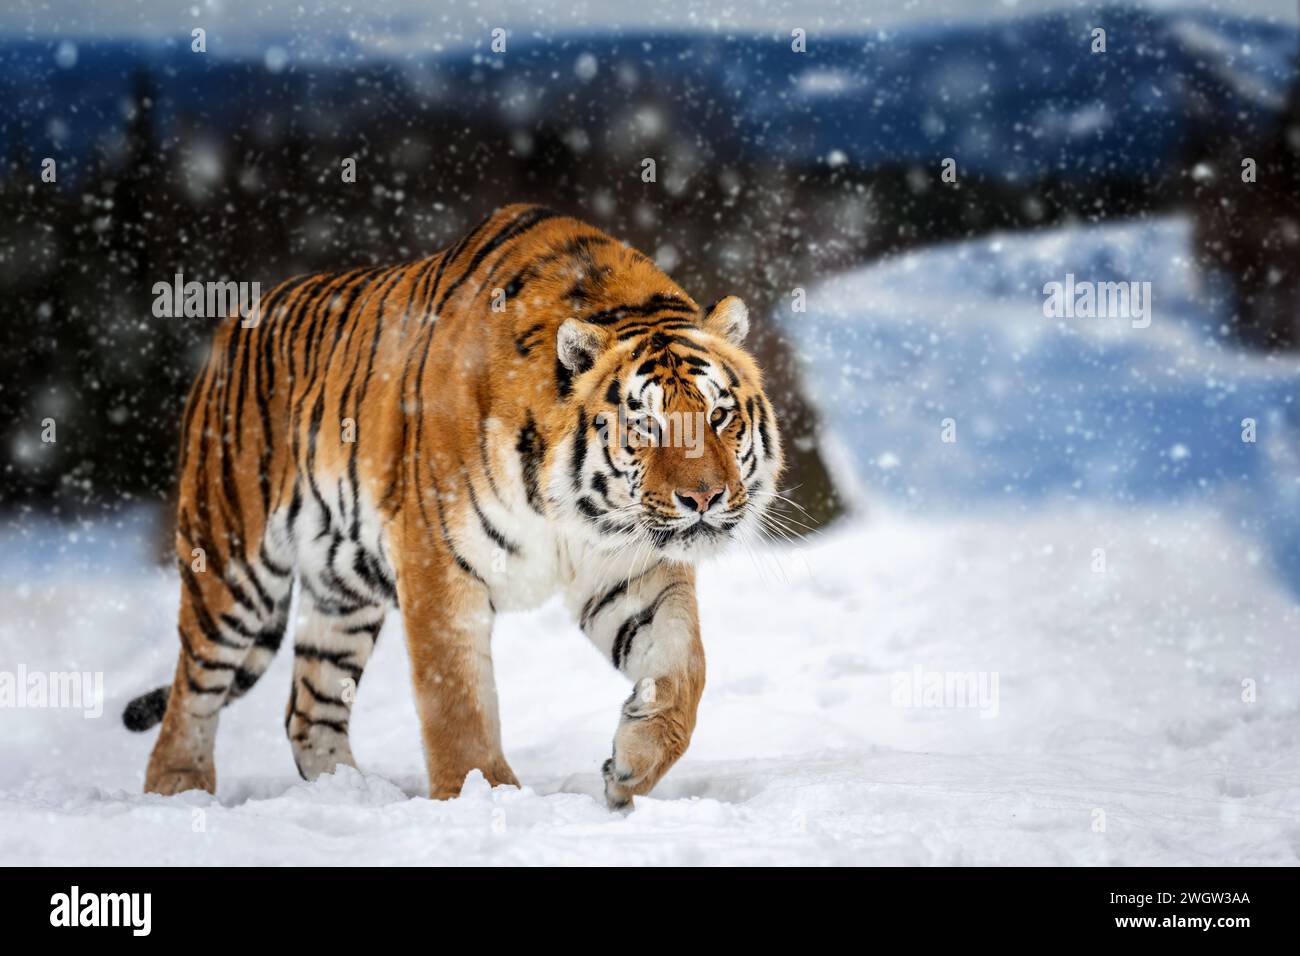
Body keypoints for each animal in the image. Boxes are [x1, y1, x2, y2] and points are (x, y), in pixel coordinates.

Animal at [123, 203, 783, 810]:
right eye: (645, 423)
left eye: (718, 415)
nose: (703, 497)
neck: (573, 509)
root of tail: (234, 322)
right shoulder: (437, 562)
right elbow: (455, 702)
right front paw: (483, 796)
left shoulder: (628, 568)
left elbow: (684, 665)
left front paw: (631, 766)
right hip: (232, 564)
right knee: (192, 690)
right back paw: (177, 791)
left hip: (343, 589)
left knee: (308, 708)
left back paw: (355, 797)